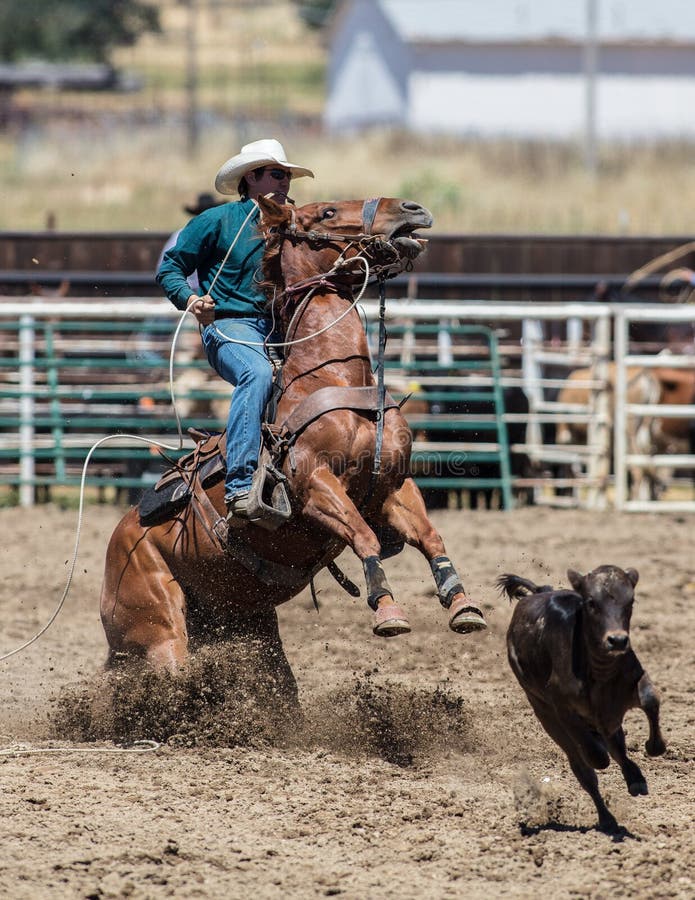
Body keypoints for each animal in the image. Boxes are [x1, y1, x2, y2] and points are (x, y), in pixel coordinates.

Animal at [499, 565, 666, 834]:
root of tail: (539, 591)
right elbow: (595, 756)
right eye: (591, 602)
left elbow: (650, 699)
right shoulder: (561, 707)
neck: (599, 673)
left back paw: (635, 779)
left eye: (630, 601)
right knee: (584, 768)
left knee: (616, 747)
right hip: (544, 712)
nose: (617, 640)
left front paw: (652, 748)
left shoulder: (632, 682)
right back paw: (607, 818)